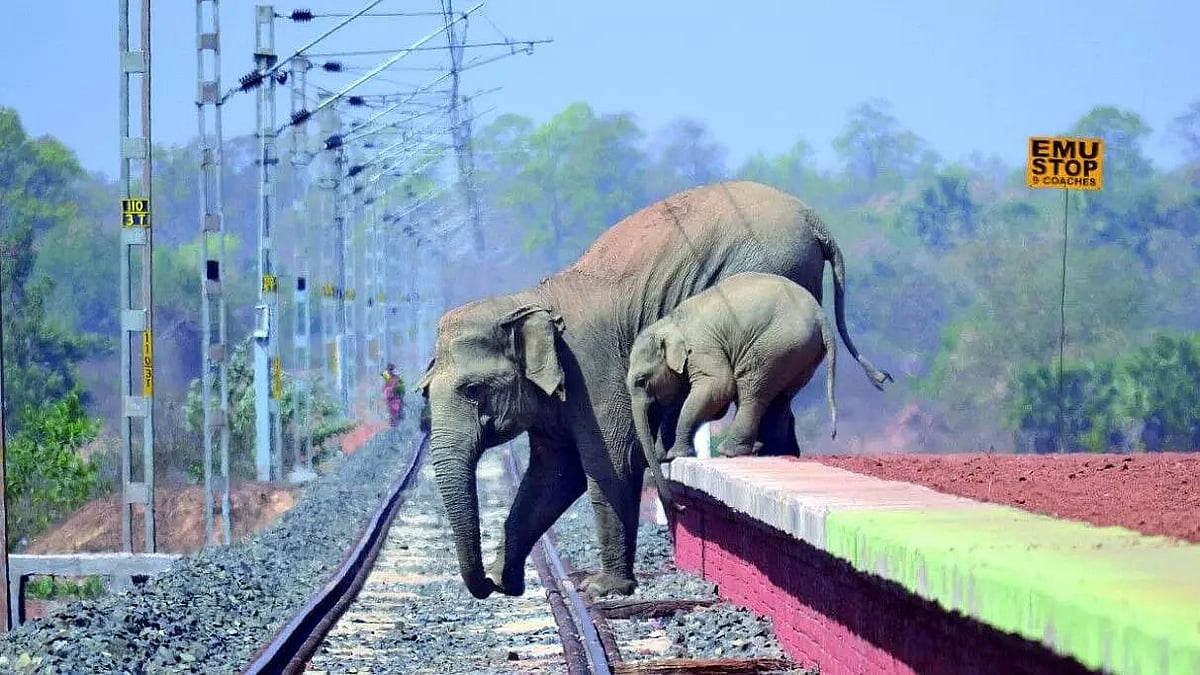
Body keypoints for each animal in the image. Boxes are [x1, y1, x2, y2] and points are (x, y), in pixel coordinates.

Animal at [625, 272, 839, 510]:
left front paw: (676, 454)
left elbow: (719, 387)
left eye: (641, 380)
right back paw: (765, 451)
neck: (670, 322)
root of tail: (821, 317)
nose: (680, 506)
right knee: (781, 398)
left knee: (751, 389)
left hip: (776, 344)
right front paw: (665, 455)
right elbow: (680, 400)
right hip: (800, 353)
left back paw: (731, 451)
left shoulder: (702, 348)